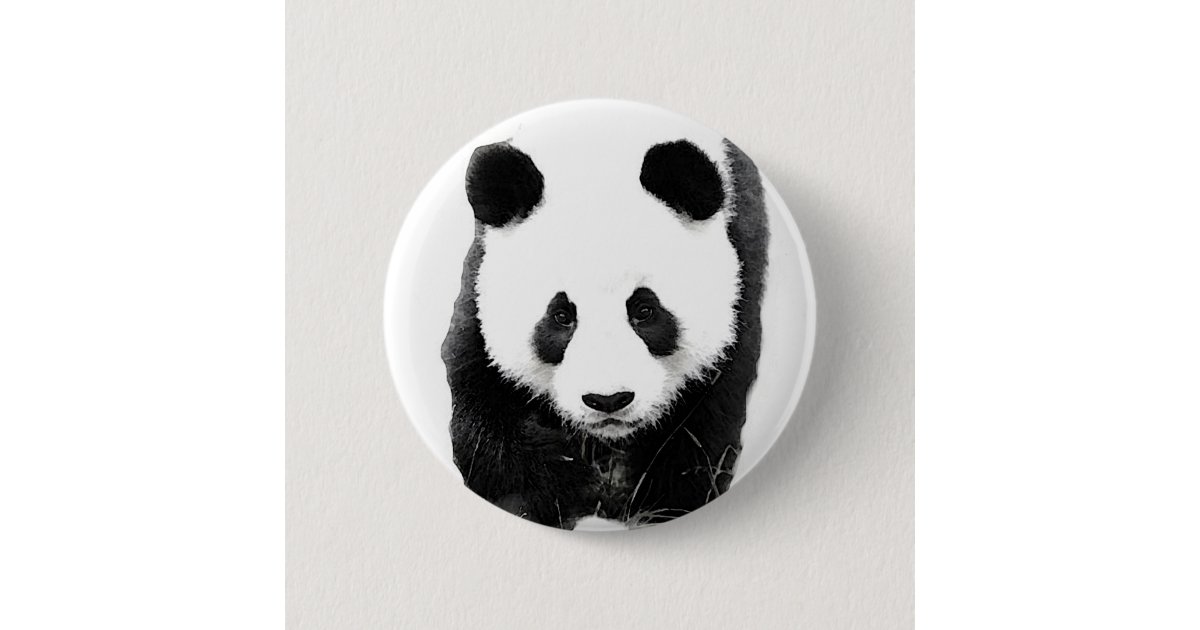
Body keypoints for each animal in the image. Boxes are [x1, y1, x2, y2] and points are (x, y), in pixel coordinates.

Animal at [441, 121, 768, 529]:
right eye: (561, 316)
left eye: (645, 310)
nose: (608, 400)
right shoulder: (479, 287)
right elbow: (484, 414)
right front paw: (563, 481)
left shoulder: (742, 273)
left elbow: (701, 431)